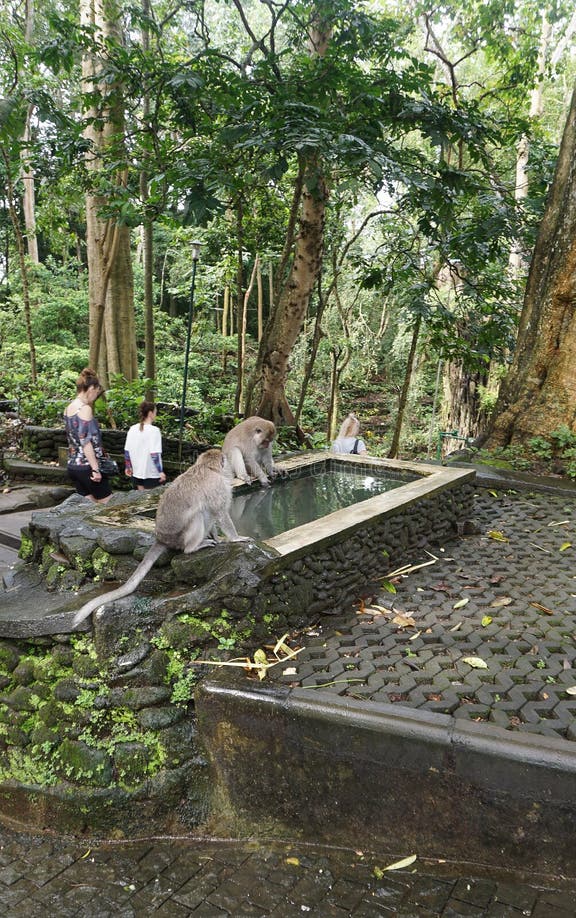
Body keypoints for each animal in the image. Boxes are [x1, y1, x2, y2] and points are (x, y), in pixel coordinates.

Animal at [70, 449, 247, 628]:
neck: (207, 468)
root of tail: (162, 539)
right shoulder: (219, 486)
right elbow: (220, 513)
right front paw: (236, 538)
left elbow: (213, 512)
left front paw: (219, 537)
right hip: (180, 538)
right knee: (198, 515)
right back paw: (194, 547)